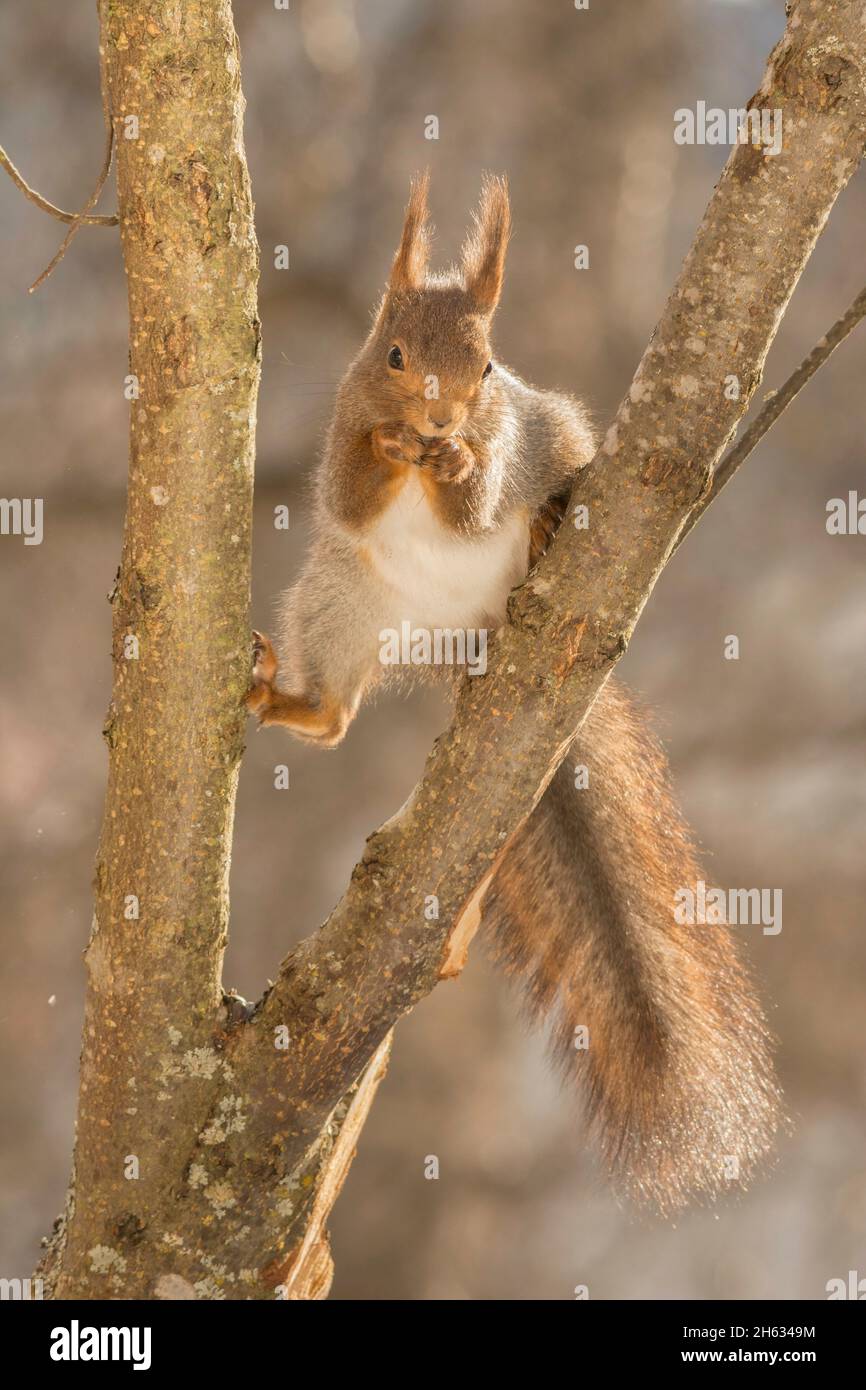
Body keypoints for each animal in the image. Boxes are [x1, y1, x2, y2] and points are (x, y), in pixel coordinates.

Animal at [248, 172, 781, 1212]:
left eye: (488, 368)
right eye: (394, 353)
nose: (438, 422)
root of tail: (469, 637)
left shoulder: (514, 435)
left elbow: (476, 500)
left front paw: (459, 467)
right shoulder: (339, 450)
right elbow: (348, 487)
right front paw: (387, 447)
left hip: (558, 447)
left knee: (541, 496)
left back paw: (546, 526)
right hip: (341, 599)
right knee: (332, 717)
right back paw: (293, 701)